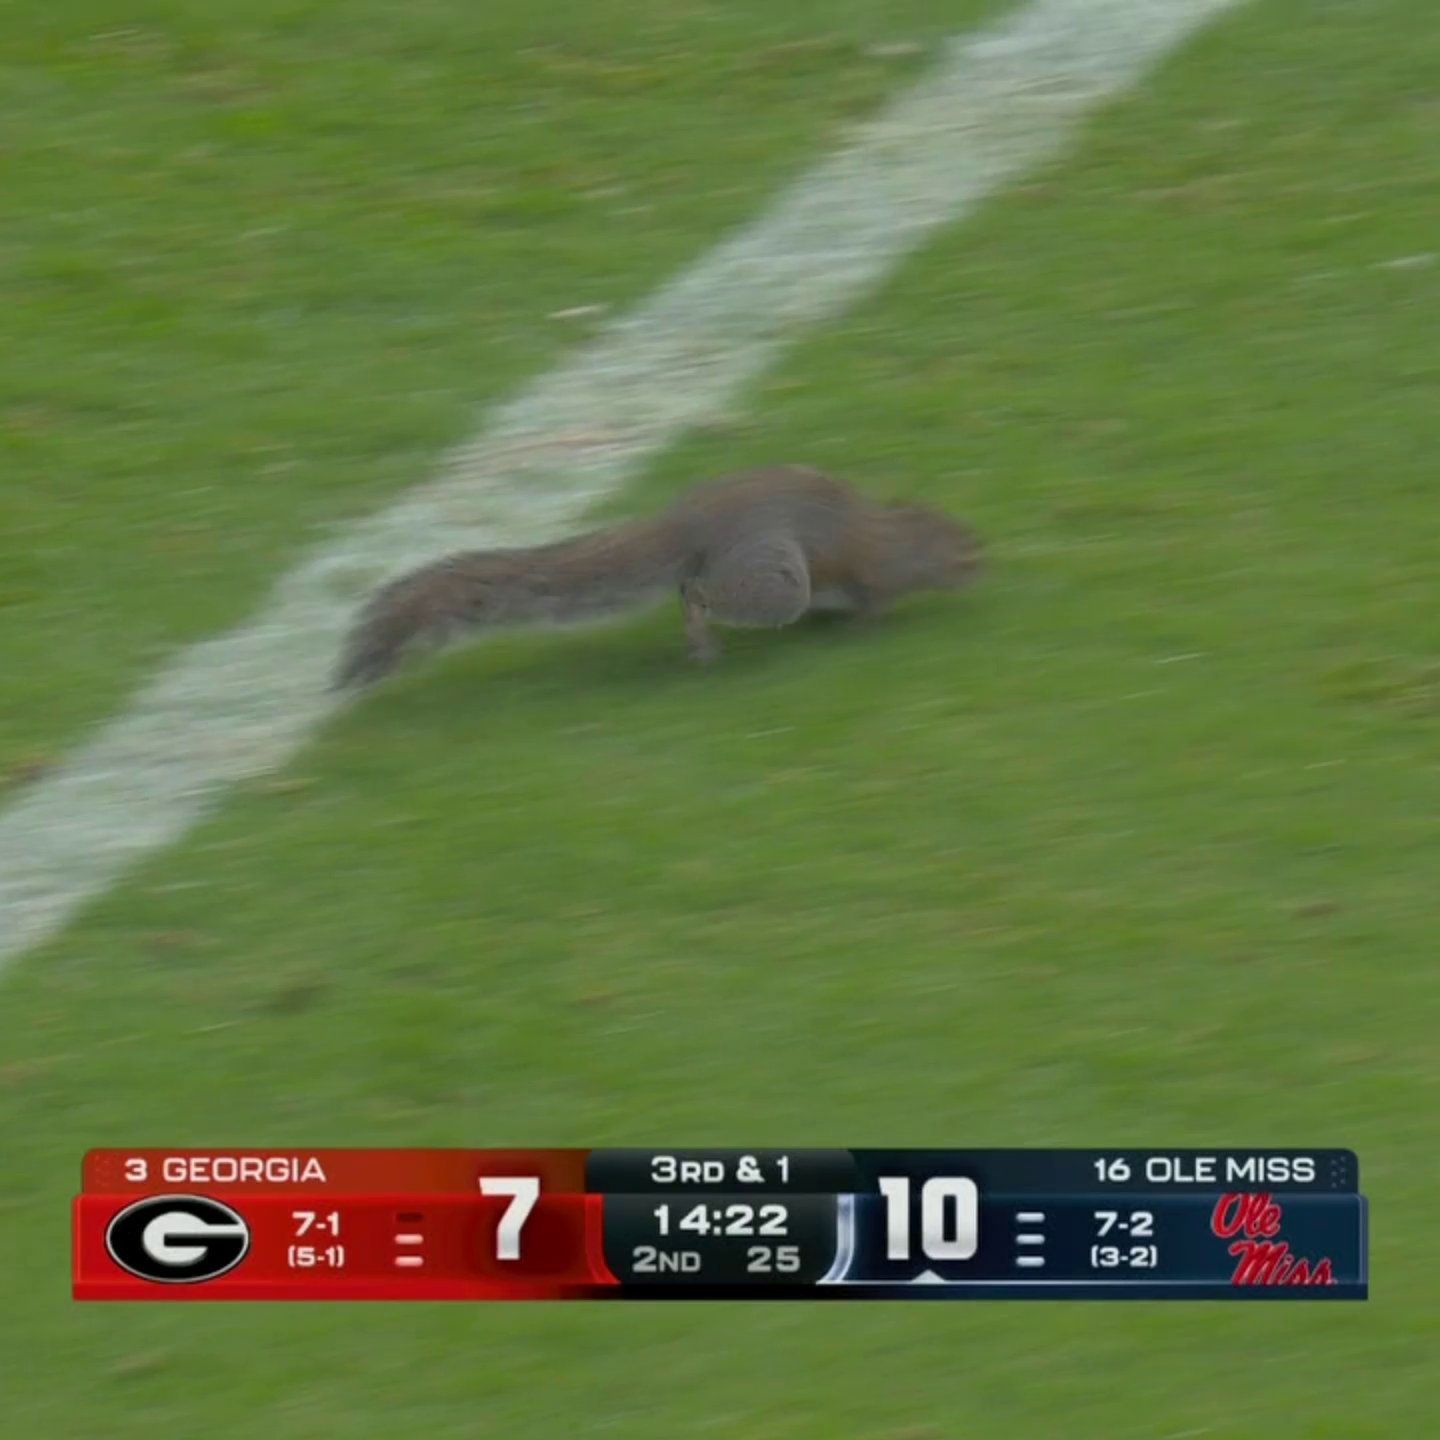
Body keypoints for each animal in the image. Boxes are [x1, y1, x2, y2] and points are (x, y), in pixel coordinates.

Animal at [333, 465, 982, 690]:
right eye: (963, 549)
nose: (987, 562)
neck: (893, 537)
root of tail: (688, 520)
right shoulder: (870, 573)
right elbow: (871, 601)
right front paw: (864, 631)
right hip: (771, 580)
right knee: (699, 591)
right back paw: (702, 633)